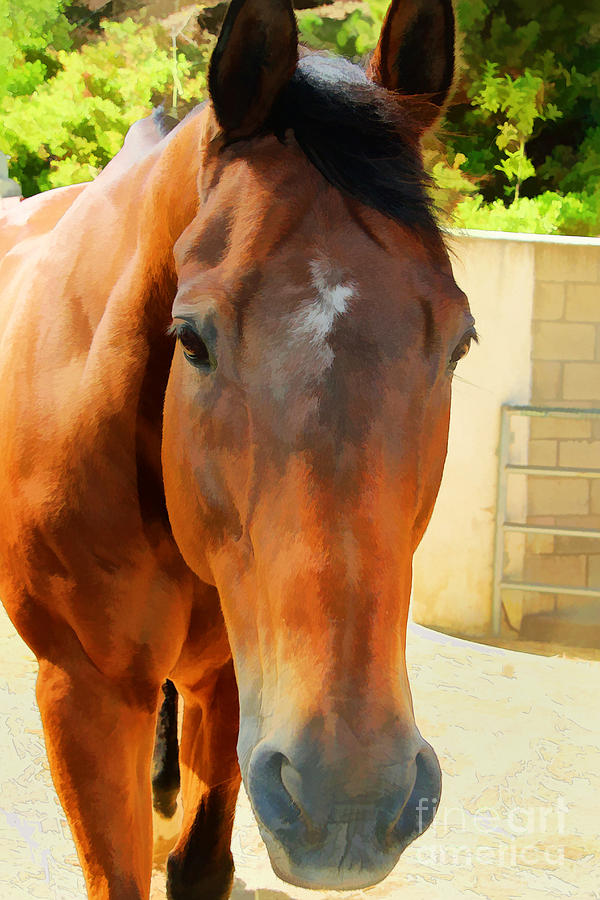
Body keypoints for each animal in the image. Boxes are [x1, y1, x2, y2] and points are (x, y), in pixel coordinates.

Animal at [0, 0, 475, 896]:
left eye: (461, 342)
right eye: (191, 339)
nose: (349, 799)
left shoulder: (227, 678)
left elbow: (199, 864)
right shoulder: (83, 694)